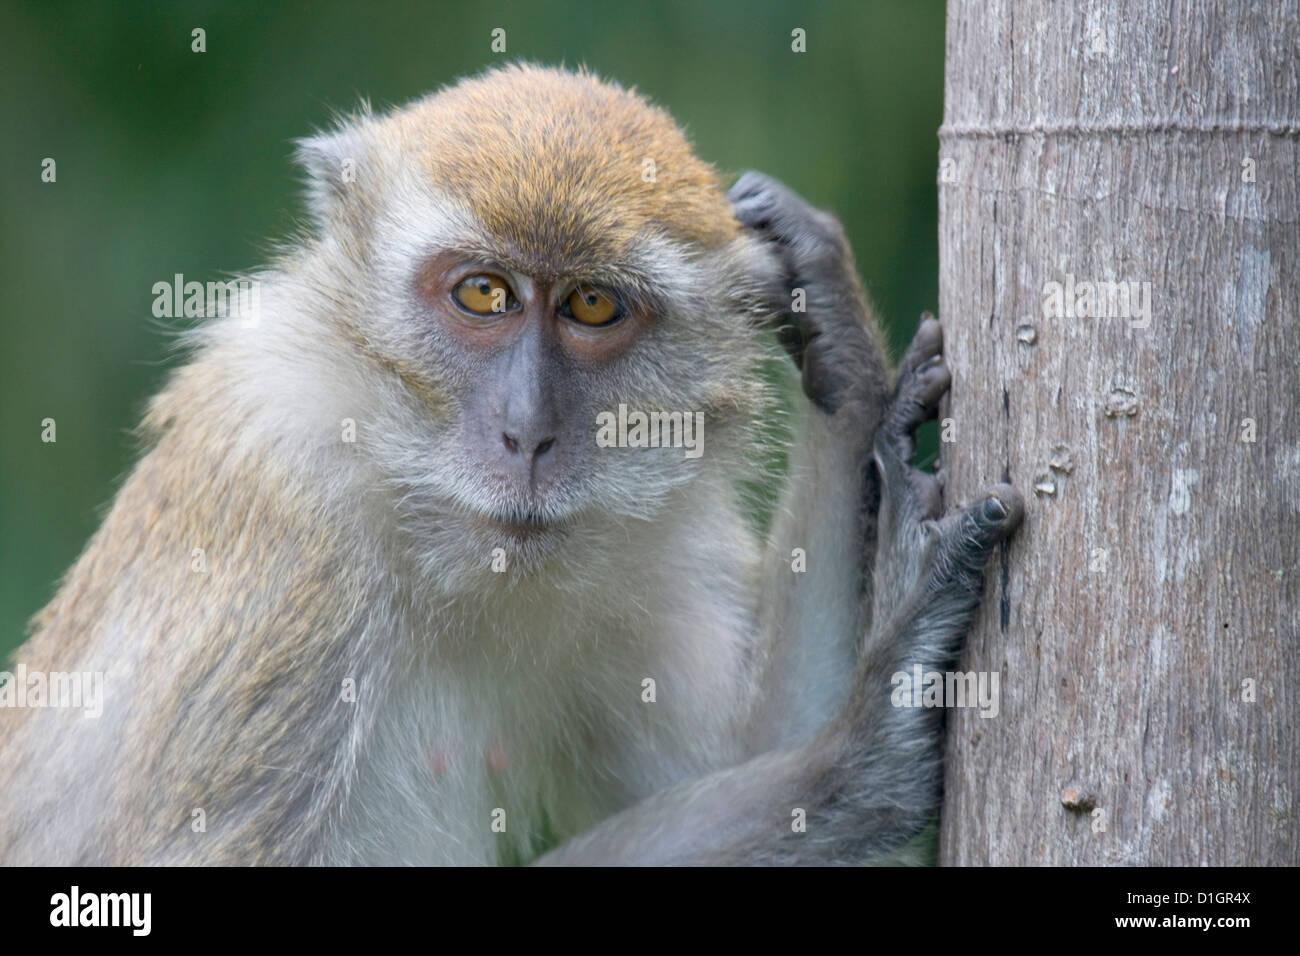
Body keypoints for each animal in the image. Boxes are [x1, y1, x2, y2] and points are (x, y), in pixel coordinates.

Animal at [0, 64, 1021, 866]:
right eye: (484, 293)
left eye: (593, 306)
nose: (527, 432)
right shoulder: (291, 525)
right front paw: (862, 748)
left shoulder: (642, 551)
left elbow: (735, 751)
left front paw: (849, 371)